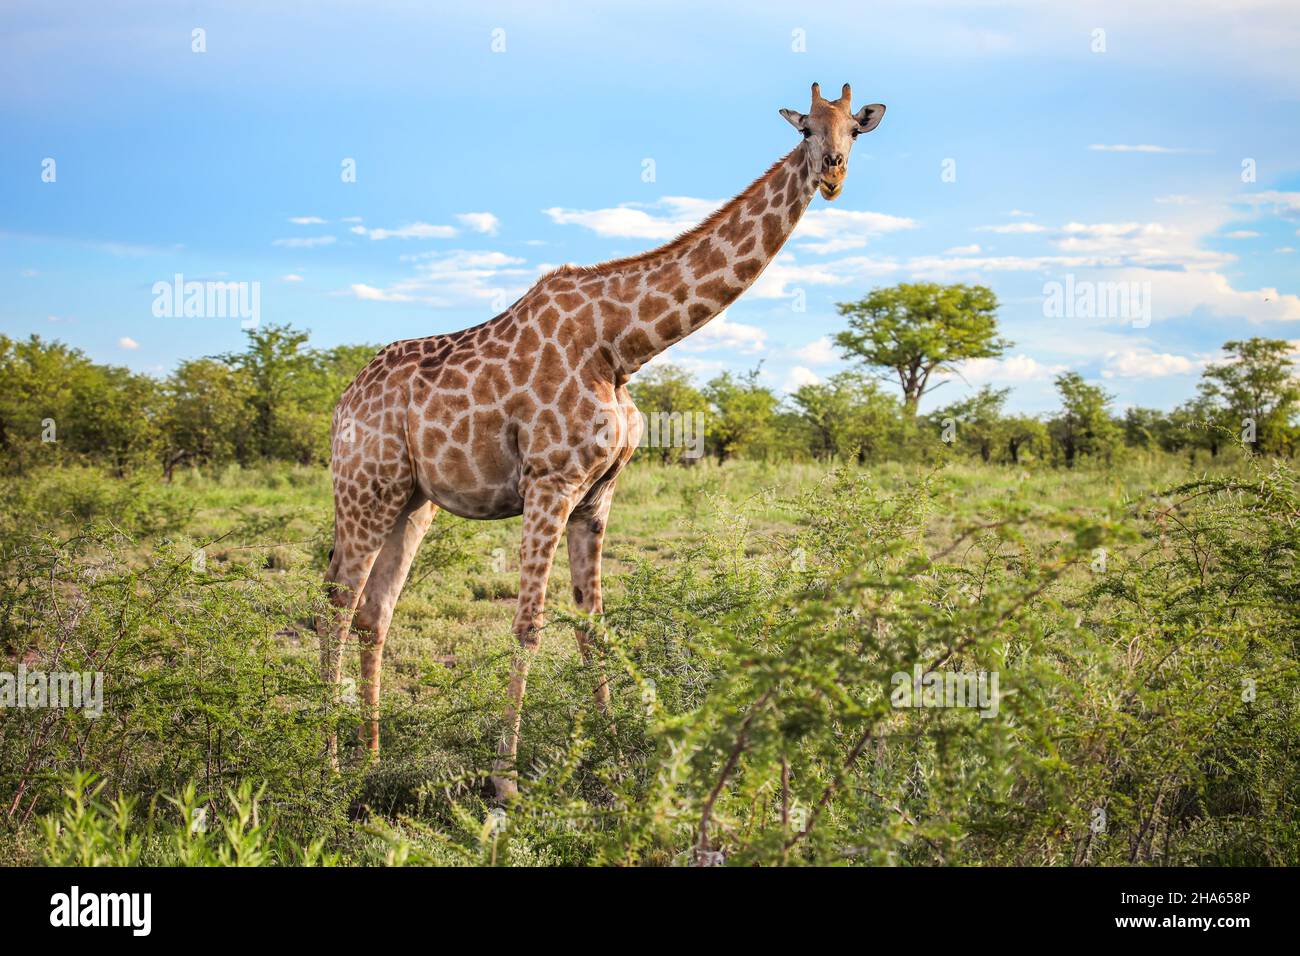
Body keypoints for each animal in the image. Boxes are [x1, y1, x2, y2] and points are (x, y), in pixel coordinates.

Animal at [318, 83, 885, 801]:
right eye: (806, 127)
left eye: (855, 130)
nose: (833, 172)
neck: (623, 347)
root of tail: (342, 401)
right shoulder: (549, 482)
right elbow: (530, 623)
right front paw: (505, 782)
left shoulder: (597, 494)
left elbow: (593, 622)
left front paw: (614, 756)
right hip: (363, 489)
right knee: (335, 605)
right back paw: (328, 766)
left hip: (410, 501)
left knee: (375, 612)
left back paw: (369, 758)